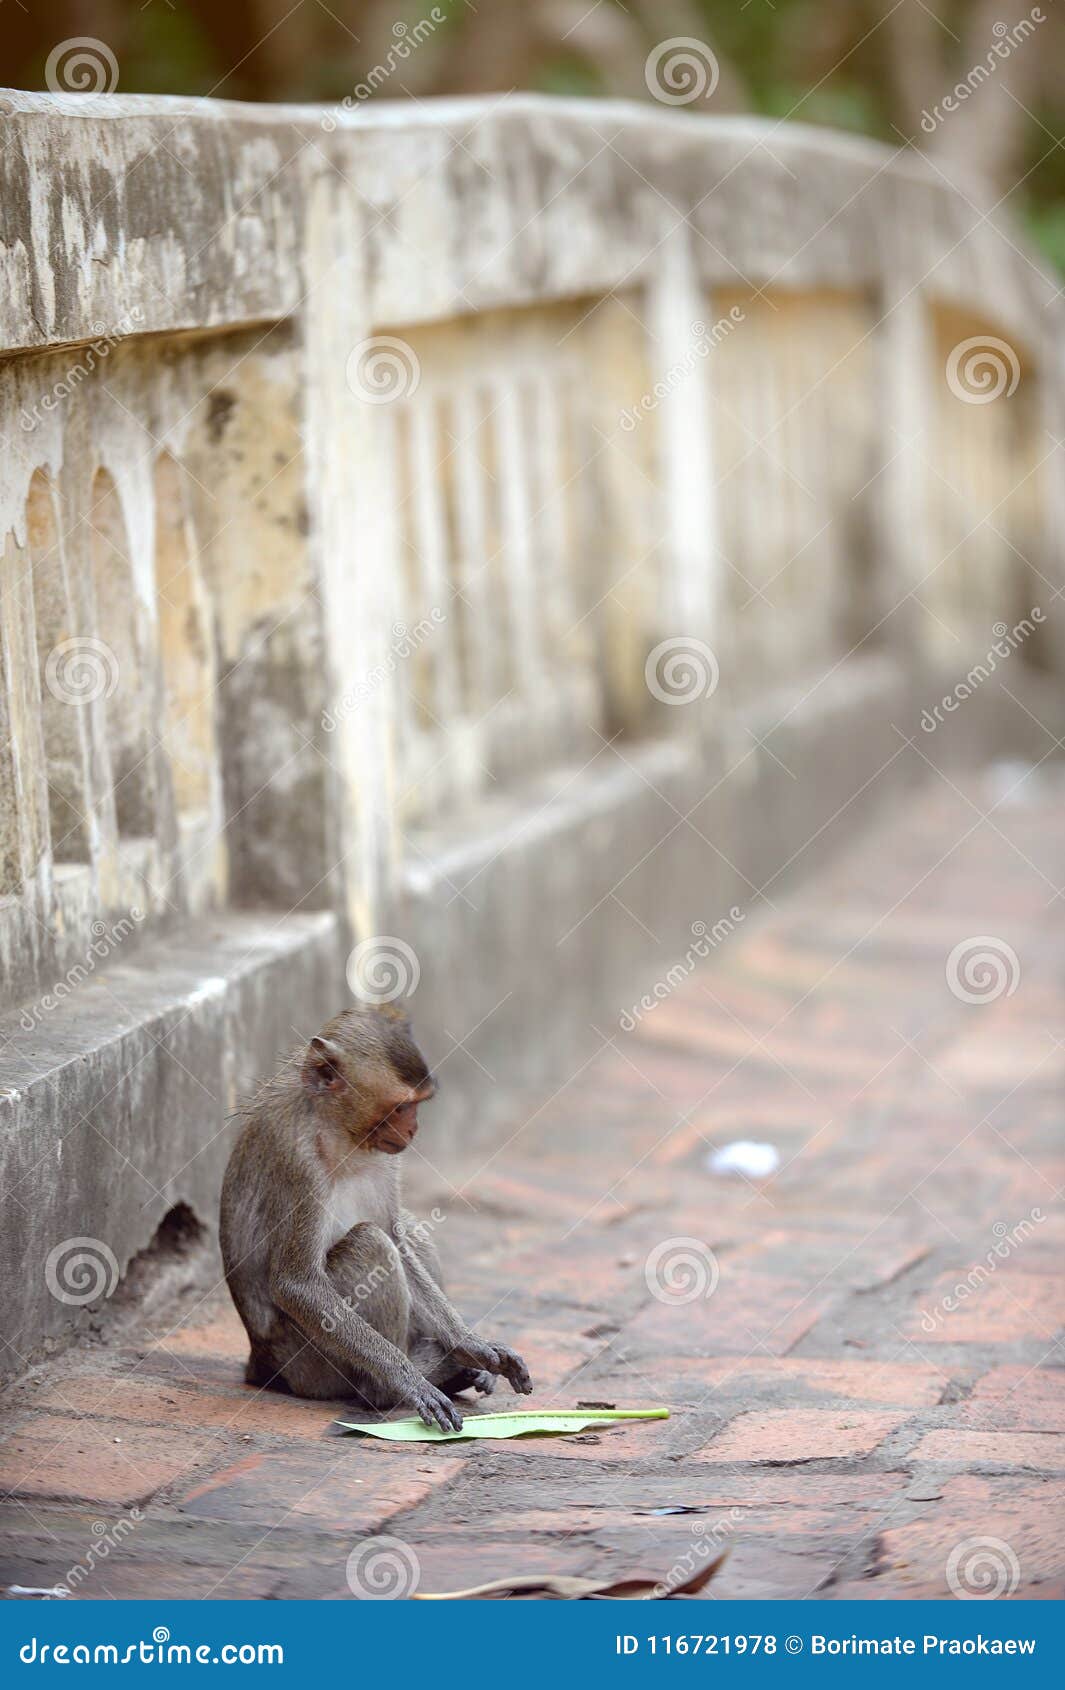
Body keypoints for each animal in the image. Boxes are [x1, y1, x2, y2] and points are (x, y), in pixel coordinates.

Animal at [219, 1003, 532, 1431]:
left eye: (418, 1104)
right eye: (401, 1106)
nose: (413, 1128)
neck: (337, 1132)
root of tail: (263, 1363)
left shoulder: (386, 1157)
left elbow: (396, 1234)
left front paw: (473, 1346)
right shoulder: (297, 1162)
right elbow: (297, 1283)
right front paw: (408, 1379)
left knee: (404, 1230)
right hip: (313, 1364)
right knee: (370, 1243)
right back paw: (403, 1382)